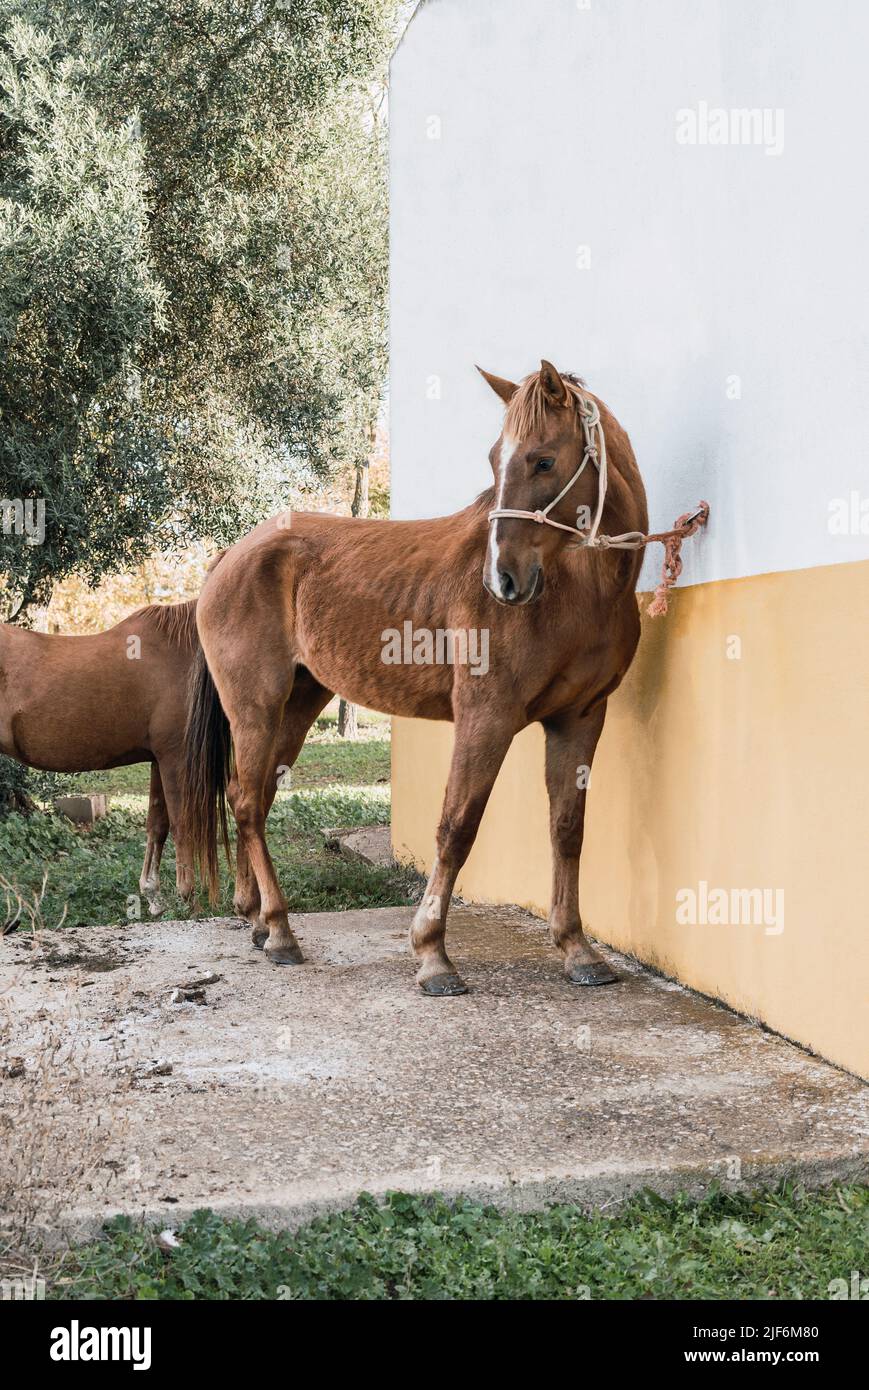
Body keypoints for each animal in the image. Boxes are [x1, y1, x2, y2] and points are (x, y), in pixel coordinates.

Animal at [0, 601, 199, 905]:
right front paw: (188, 899)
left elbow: (158, 825)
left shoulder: (159, 758)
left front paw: (152, 894)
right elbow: (182, 825)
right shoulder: (175, 758)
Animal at [182, 361, 648, 995]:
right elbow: (457, 827)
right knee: (249, 803)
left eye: (543, 460)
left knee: (252, 796)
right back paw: (279, 931)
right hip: (255, 706)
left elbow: (567, 829)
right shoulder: (485, 718)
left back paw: (256, 919)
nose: (501, 580)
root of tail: (230, 555)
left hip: (298, 705)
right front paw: (432, 955)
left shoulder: (579, 719)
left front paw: (577, 948)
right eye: (496, 458)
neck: (576, 591)